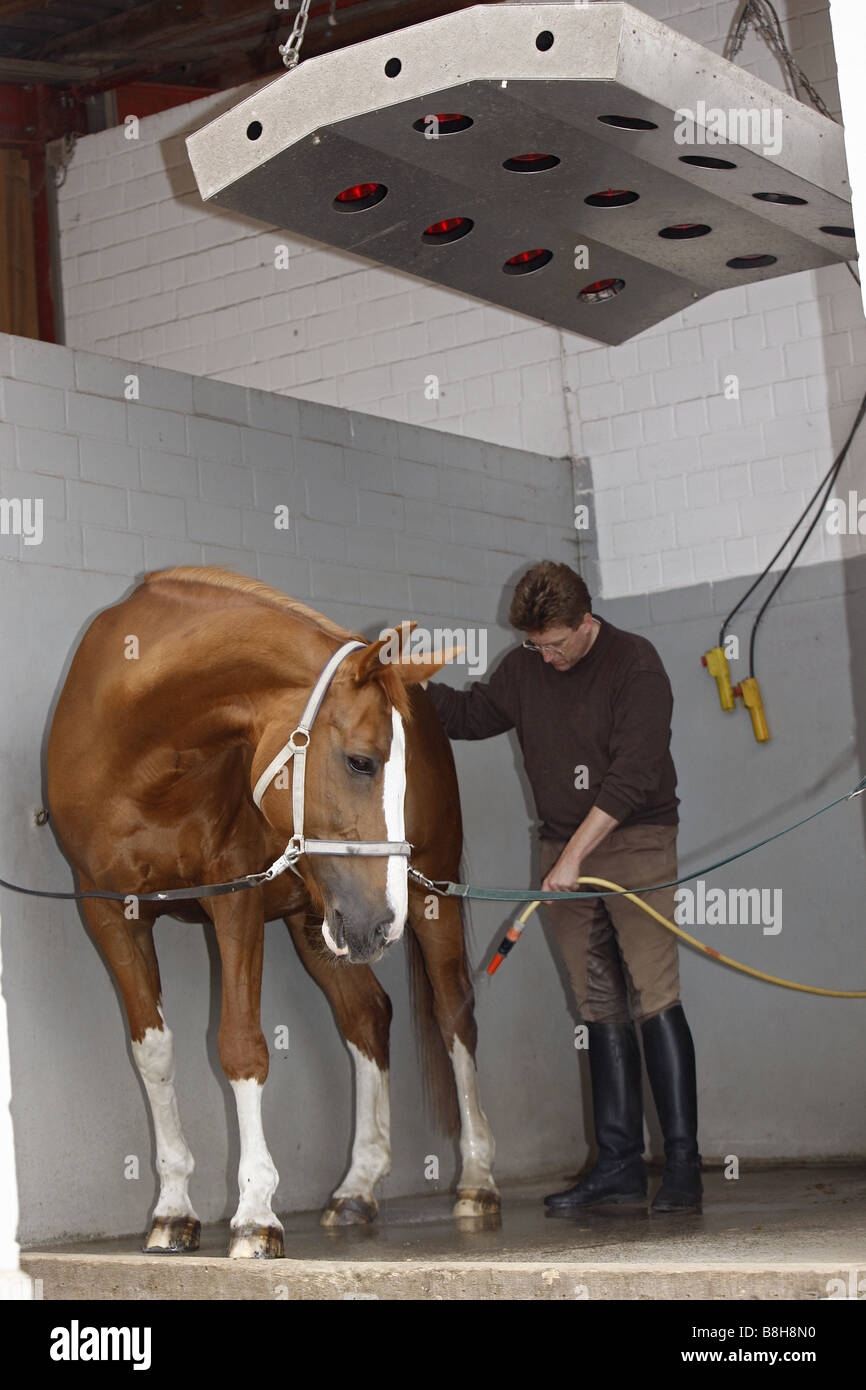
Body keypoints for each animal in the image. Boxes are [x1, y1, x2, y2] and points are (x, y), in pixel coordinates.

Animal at [45, 566, 499, 1258]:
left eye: (400, 773)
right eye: (361, 761)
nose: (385, 922)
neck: (134, 750)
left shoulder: (233, 900)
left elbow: (240, 1045)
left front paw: (256, 1212)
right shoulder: (110, 913)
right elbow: (154, 1053)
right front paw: (172, 1210)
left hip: (423, 904)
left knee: (454, 1016)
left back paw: (476, 1178)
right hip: (321, 918)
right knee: (367, 1014)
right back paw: (357, 1187)